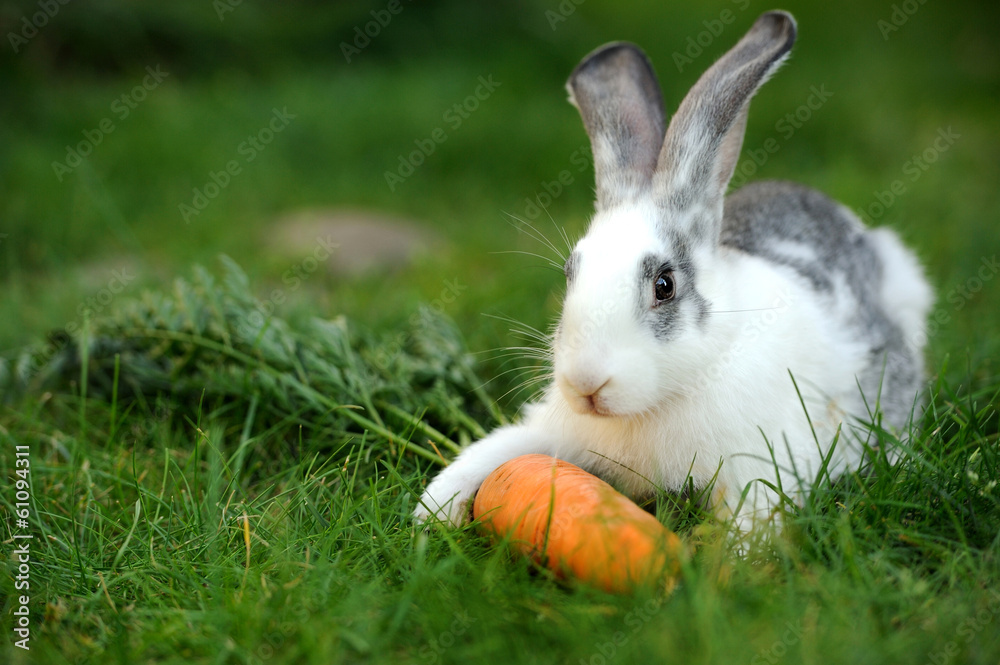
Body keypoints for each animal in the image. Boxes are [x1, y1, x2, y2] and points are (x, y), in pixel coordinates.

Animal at [414, 10, 932, 533]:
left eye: (664, 286)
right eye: (569, 273)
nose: (586, 384)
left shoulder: (758, 467)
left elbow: (749, 523)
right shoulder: (552, 430)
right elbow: (495, 448)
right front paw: (431, 512)